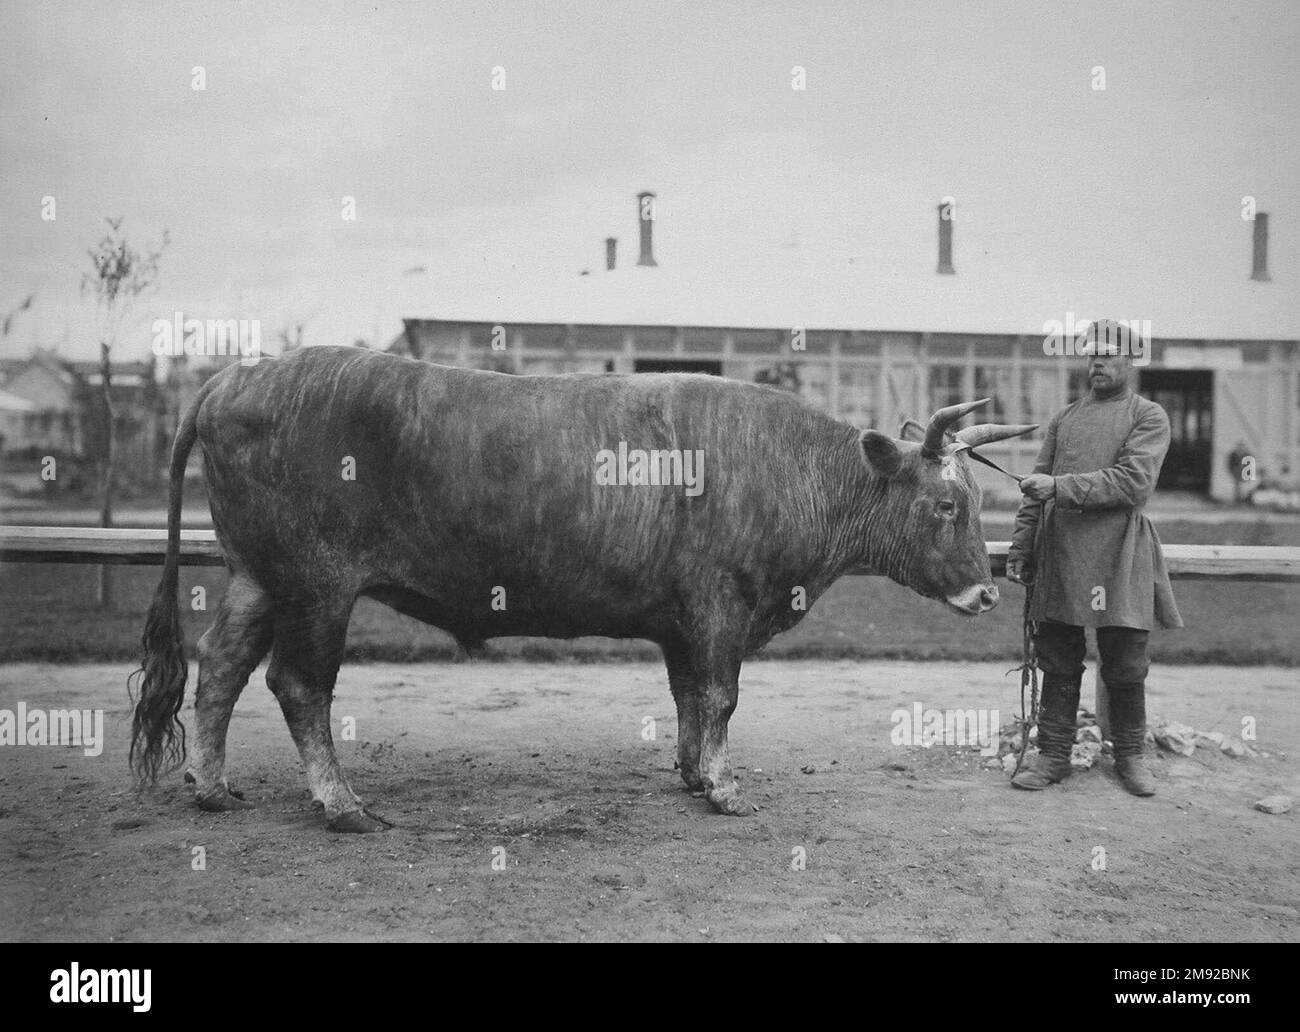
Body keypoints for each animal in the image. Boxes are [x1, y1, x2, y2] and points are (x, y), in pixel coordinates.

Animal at [130, 345, 1034, 831]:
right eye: (946, 504)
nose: (989, 597)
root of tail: (233, 378)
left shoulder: (682, 620)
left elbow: (689, 699)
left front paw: (694, 774)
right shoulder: (719, 607)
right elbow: (722, 697)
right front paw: (725, 788)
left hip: (258, 577)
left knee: (220, 668)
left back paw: (211, 786)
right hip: (316, 587)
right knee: (298, 685)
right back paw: (341, 802)